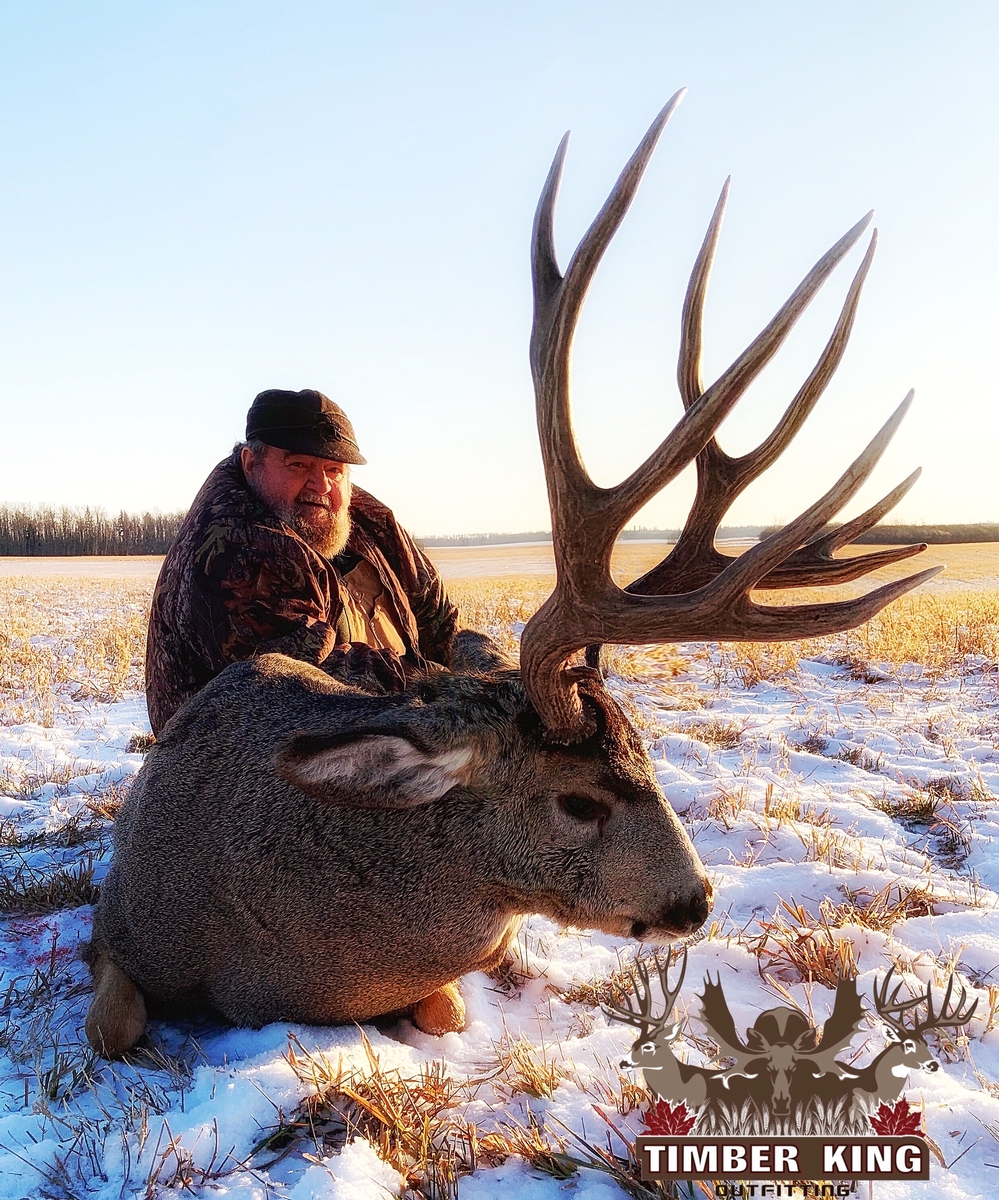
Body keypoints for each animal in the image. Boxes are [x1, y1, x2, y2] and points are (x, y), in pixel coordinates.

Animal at [85, 90, 938, 1060]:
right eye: (578, 801)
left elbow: (447, 1007)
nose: (696, 902)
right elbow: (115, 1023)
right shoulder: (117, 924)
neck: (283, 958)